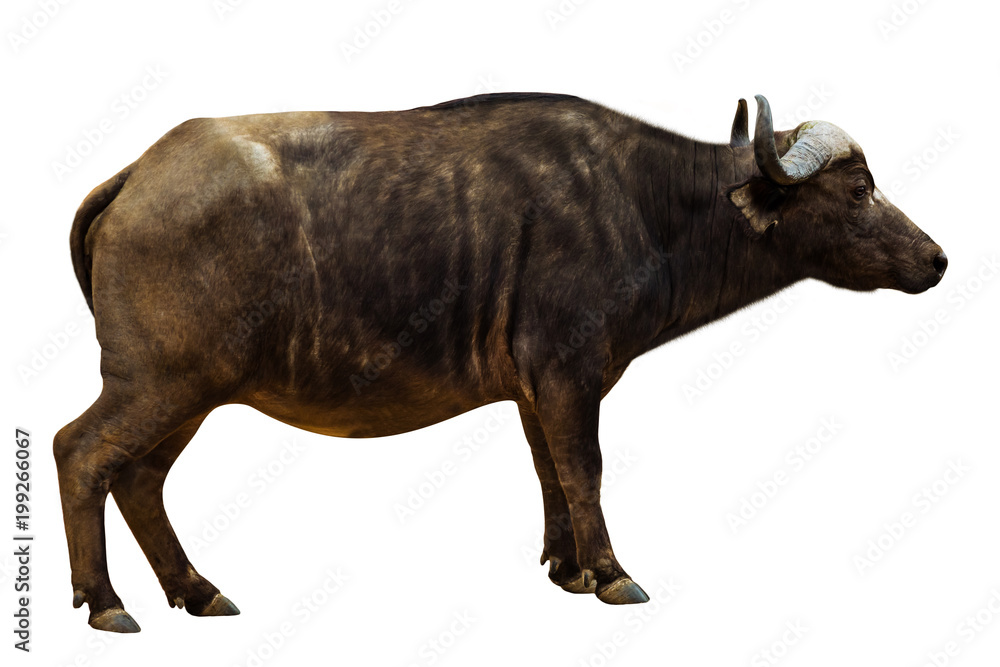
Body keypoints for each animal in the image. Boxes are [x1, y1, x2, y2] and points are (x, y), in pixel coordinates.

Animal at [55, 92, 946, 632]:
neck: (647, 202)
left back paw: (195, 589)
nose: (936, 258)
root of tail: (137, 174)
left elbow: (549, 469)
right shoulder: (569, 371)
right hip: (160, 380)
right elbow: (584, 467)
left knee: (139, 477)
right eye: (859, 188)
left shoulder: (533, 389)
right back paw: (105, 602)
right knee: (80, 452)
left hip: (194, 390)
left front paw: (568, 567)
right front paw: (612, 571)